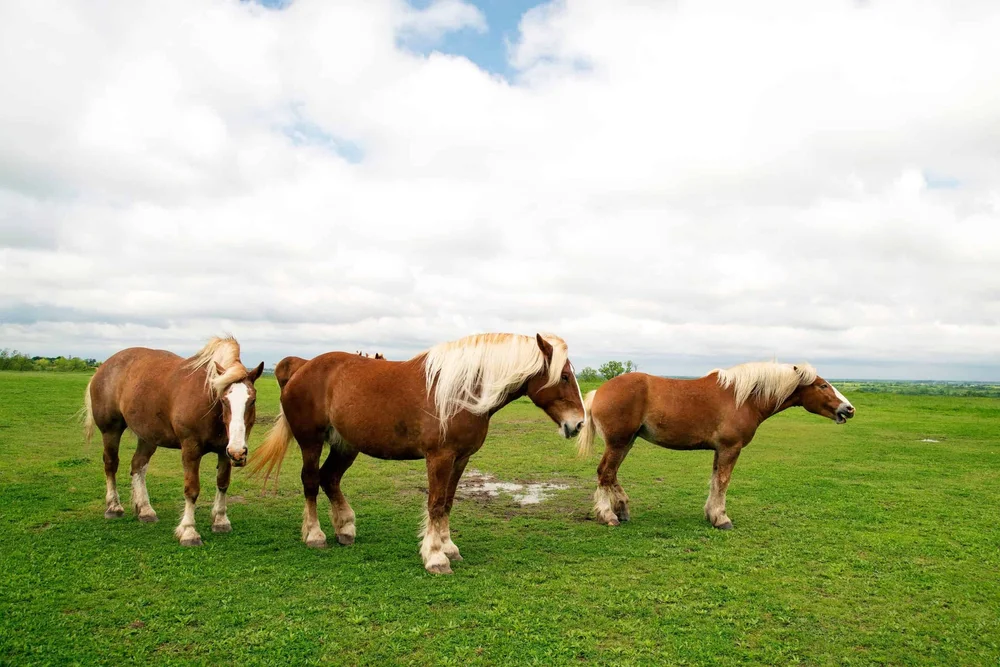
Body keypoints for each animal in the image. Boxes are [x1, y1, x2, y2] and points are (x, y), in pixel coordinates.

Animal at [82, 336, 264, 546]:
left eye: (252, 400)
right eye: (224, 400)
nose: (239, 453)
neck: (208, 402)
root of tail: (104, 366)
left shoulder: (224, 451)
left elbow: (223, 483)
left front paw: (220, 520)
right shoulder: (191, 450)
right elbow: (191, 489)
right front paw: (189, 531)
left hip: (148, 436)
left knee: (138, 466)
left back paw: (145, 510)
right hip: (110, 430)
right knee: (111, 464)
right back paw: (114, 507)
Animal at [247, 333, 586, 574]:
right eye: (564, 376)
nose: (579, 423)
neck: (462, 391)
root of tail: (301, 368)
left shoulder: (461, 459)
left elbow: (447, 502)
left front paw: (448, 548)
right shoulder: (439, 457)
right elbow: (435, 504)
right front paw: (435, 557)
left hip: (345, 445)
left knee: (329, 479)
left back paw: (345, 528)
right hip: (311, 442)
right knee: (310, 481)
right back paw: (315, 535)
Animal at [576, 361, 855, 529]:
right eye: (823, 385)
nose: (849, 409)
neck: (743, 398)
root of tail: (599, 392)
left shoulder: (719, 450)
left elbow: (714, 481)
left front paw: (711, 513)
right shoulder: (731, 448)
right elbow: (723, 482)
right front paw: (721, 518)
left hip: (627, 442)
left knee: (611, 475)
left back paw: (622, 507)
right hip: (618, 442)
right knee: (605, 473)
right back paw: (608, 515)